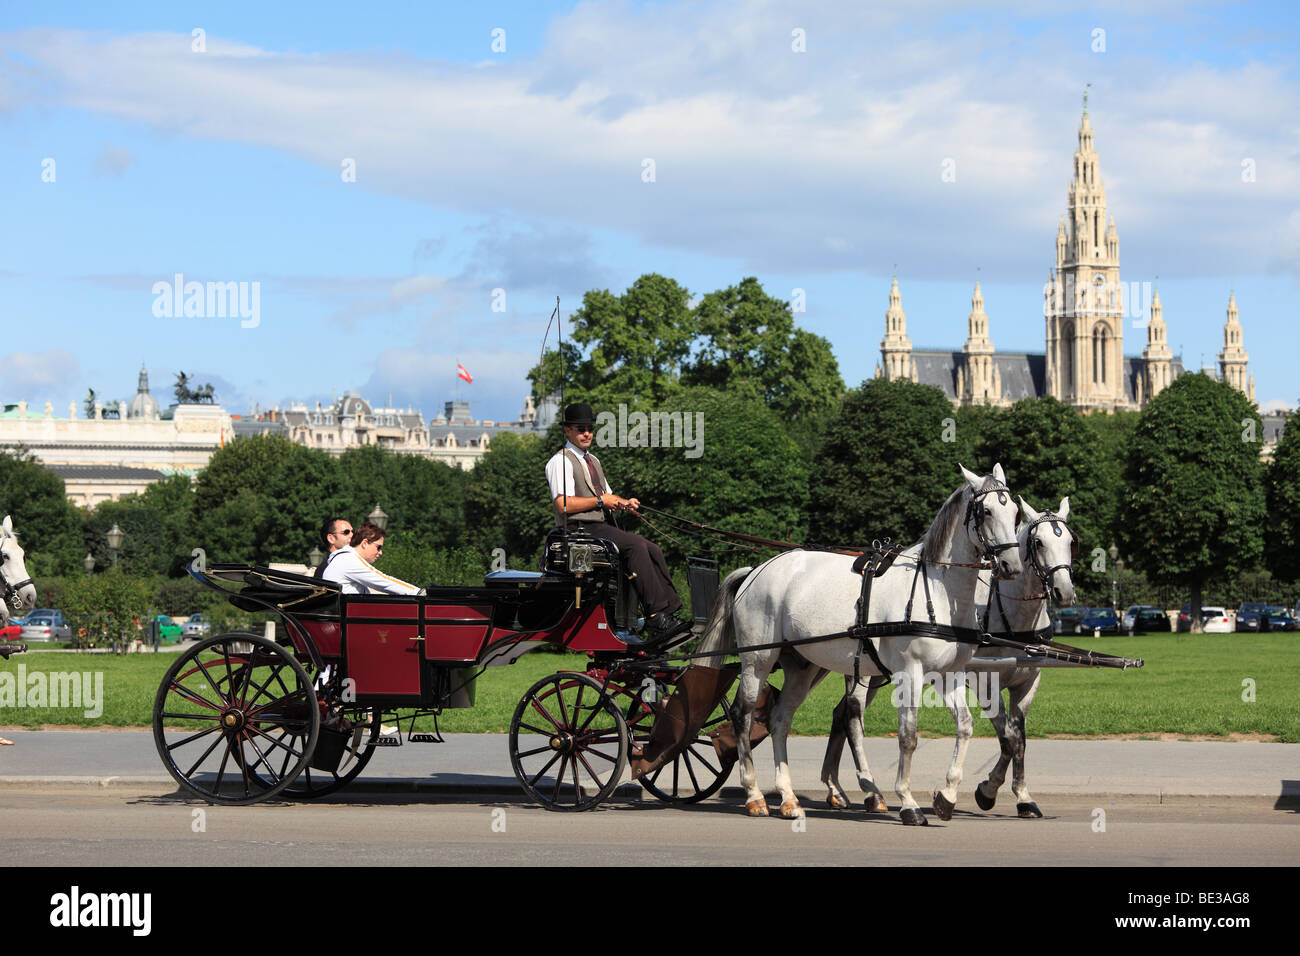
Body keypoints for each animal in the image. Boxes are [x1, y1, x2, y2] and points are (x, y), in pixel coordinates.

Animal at [702, 463, 1024, 822]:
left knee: (779, 719)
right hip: (757, 660)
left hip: (802, 667)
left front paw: (947, 796)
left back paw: (788, 798)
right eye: (986, 511)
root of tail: (756, 570)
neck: (937, 589)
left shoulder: (947, 674)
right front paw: (908, 802)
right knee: (743, 715)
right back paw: (755, 795)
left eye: (1015, 513)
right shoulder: (909, 672)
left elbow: (965, 726)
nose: (1011, 566)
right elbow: (908, 736)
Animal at [821, 496, 1076, 816]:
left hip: (875, 671)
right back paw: (870, 792)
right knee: (852, 719)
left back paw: (834, 787)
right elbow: (1008, 737)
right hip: (859, 671)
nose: (1064, 591)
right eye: (1039, 542)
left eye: (1070, 541)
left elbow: (1019, 740)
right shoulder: (984, 683)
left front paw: (1023, 796)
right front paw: (987, 790)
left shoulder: (1027, 684)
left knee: (839, 714)